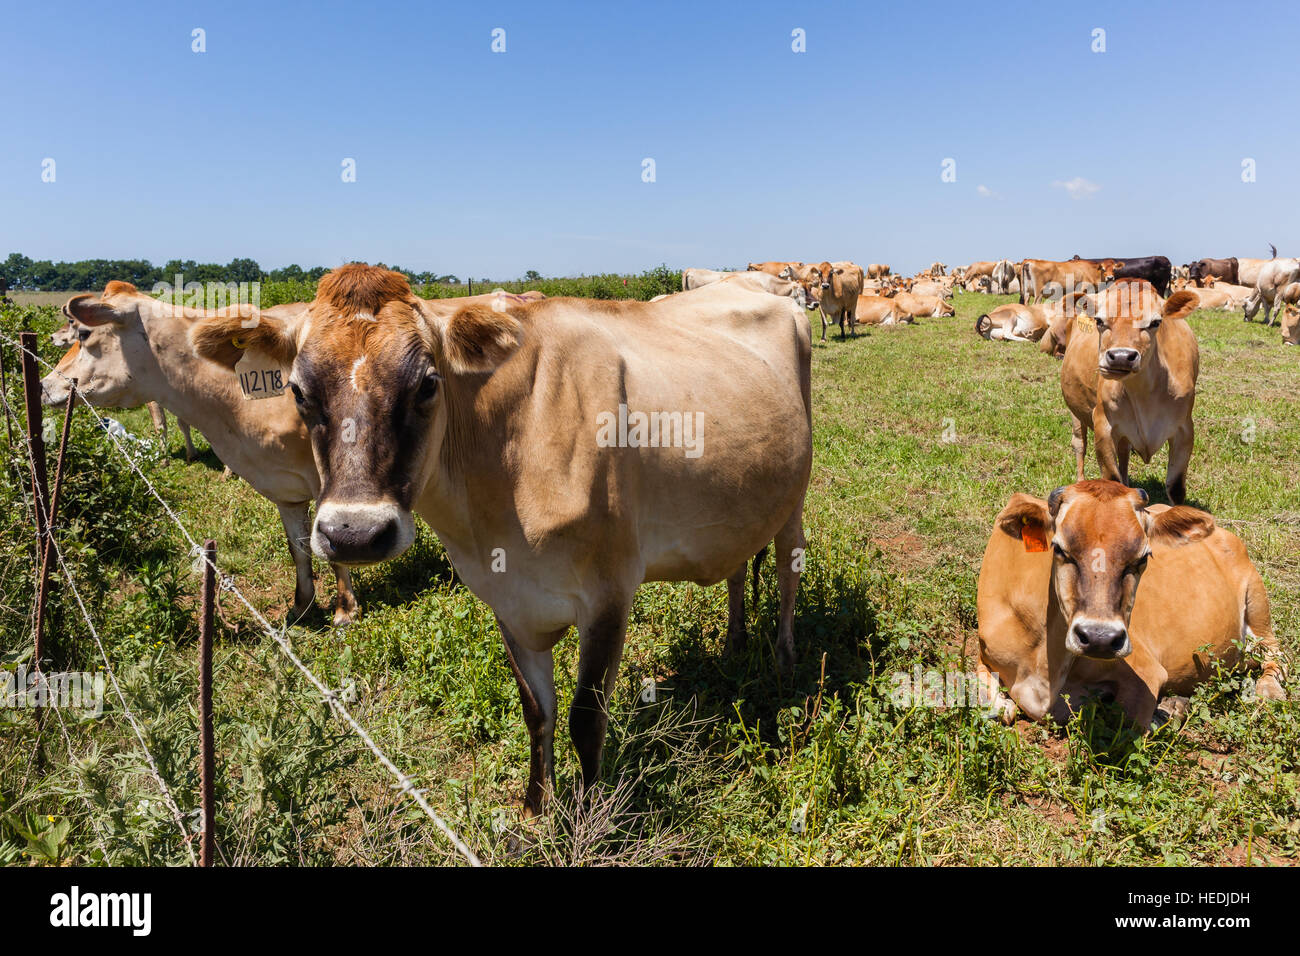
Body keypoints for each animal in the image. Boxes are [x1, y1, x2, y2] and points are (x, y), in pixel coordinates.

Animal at [39, 282, 361, 625]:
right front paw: (301, 606)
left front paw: (345, 611)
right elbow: (298, 548)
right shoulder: (283, 486)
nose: (45, 384)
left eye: (83, 333)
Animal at [188, 263, 813, 816]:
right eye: (297, 391)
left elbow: (586, 717)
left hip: (796, 495)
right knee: (738, 567)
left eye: (428, 384)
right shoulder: (505, 596)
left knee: (788, 570)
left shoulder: (610, 593)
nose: (355, 533)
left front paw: (587, 819)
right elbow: (537, 710)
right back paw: (733, 644)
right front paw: (536, 808)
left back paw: (784, 660)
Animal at [976, 479, 1285, 728]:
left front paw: (1169, 709)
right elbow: (991, 701)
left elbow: (1134, 725)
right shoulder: (984, 650)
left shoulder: (1146, 671)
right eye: (1060, 548)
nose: (1099, 638)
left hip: (1257, 604)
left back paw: (1268, 691)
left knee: (1276, 656)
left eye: (1143, 557)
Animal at [1060, 281, 1200, 504]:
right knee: (1079, 444)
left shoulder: (1184, 429)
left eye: (1155, 322)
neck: (1144, 393)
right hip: (1076, 411)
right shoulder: (1103, 425)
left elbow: (1176, 488)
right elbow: (1111, 478)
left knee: (1124, 451)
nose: (1121, 357)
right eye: (1099, 320)